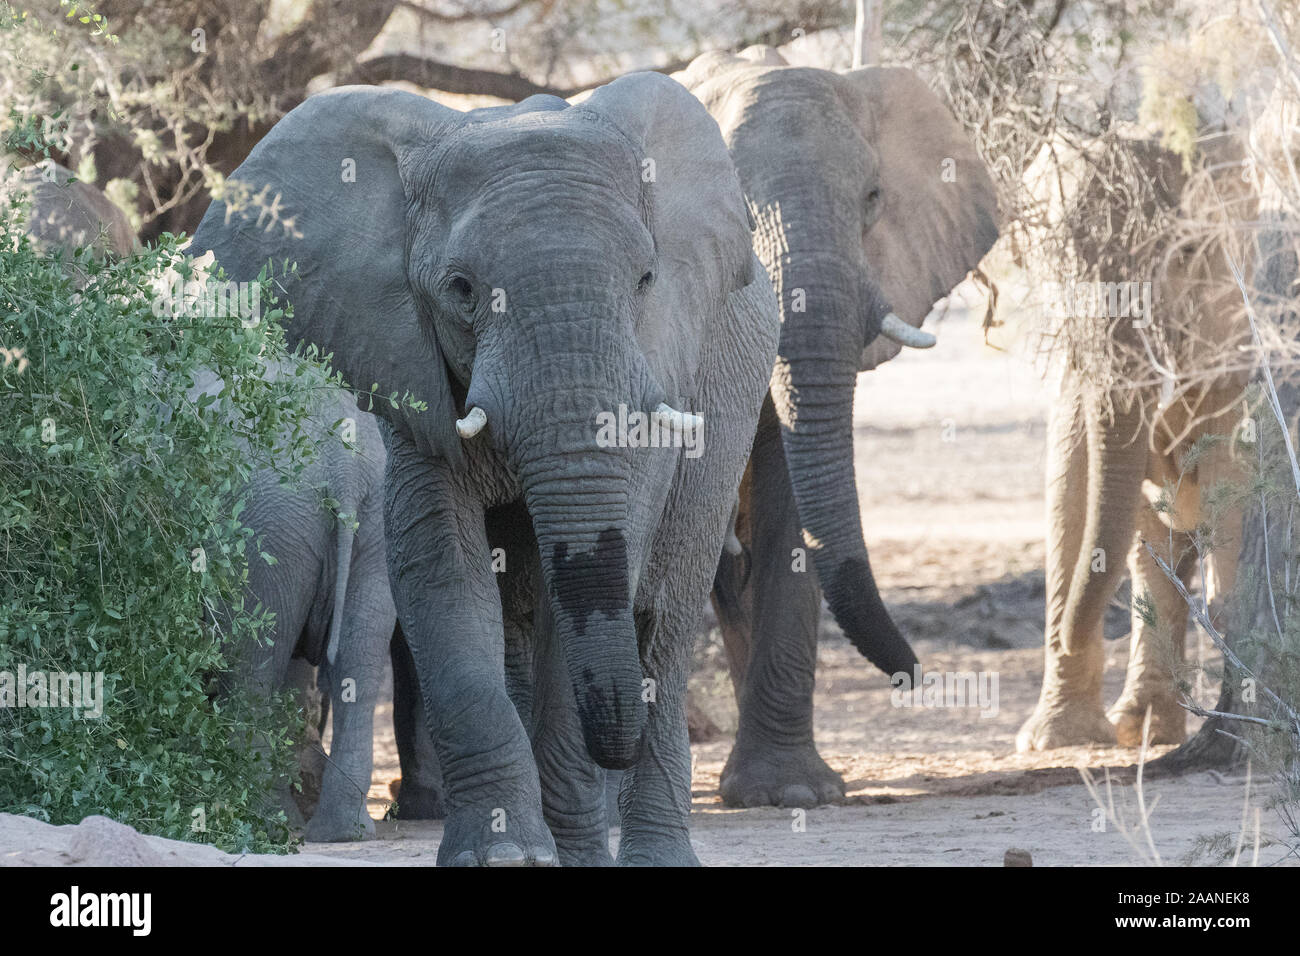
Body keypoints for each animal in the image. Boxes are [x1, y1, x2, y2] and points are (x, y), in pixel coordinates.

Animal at [190, 72, 782, 865]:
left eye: (647, 279)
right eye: (462, 288)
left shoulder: (659, 361)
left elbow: (603, 567)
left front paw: (559, 850)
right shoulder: (403, 372)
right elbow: (442, 564)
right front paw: (503, 855)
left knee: (669, 610)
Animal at [1015, 129, 1258, 751]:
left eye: (1186, 254)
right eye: (1051, 260)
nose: (1076, 635)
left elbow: (1235, 480)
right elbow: (1073, 475)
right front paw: (1057, 739)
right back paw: (1141, 728)